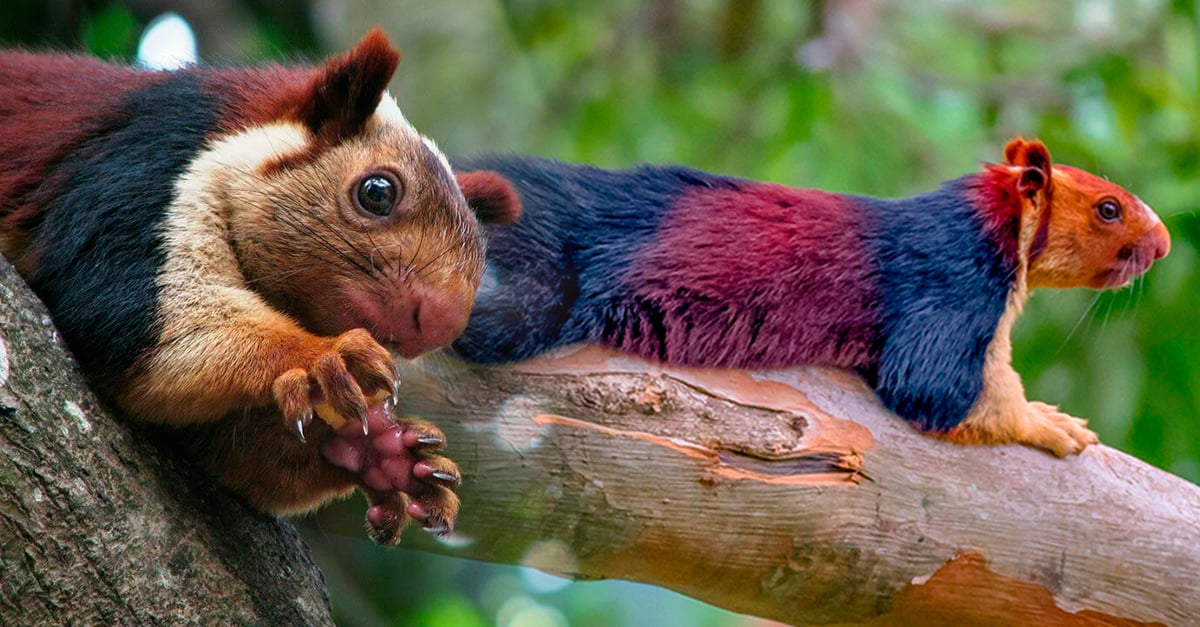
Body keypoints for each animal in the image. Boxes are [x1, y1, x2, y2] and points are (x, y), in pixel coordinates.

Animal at [0, 29, 520, 544]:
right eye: (377, 193)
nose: (441, 321)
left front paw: (380, 452)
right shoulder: (137, 176)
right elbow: (148, 323)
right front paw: (324, 356)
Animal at [452, 139, 1169, 457]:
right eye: (1108, 207)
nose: (1163, 244)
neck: (993, 227)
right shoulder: (954, 282)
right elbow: (939, 390)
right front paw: (1054, 424)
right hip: (530, 293)